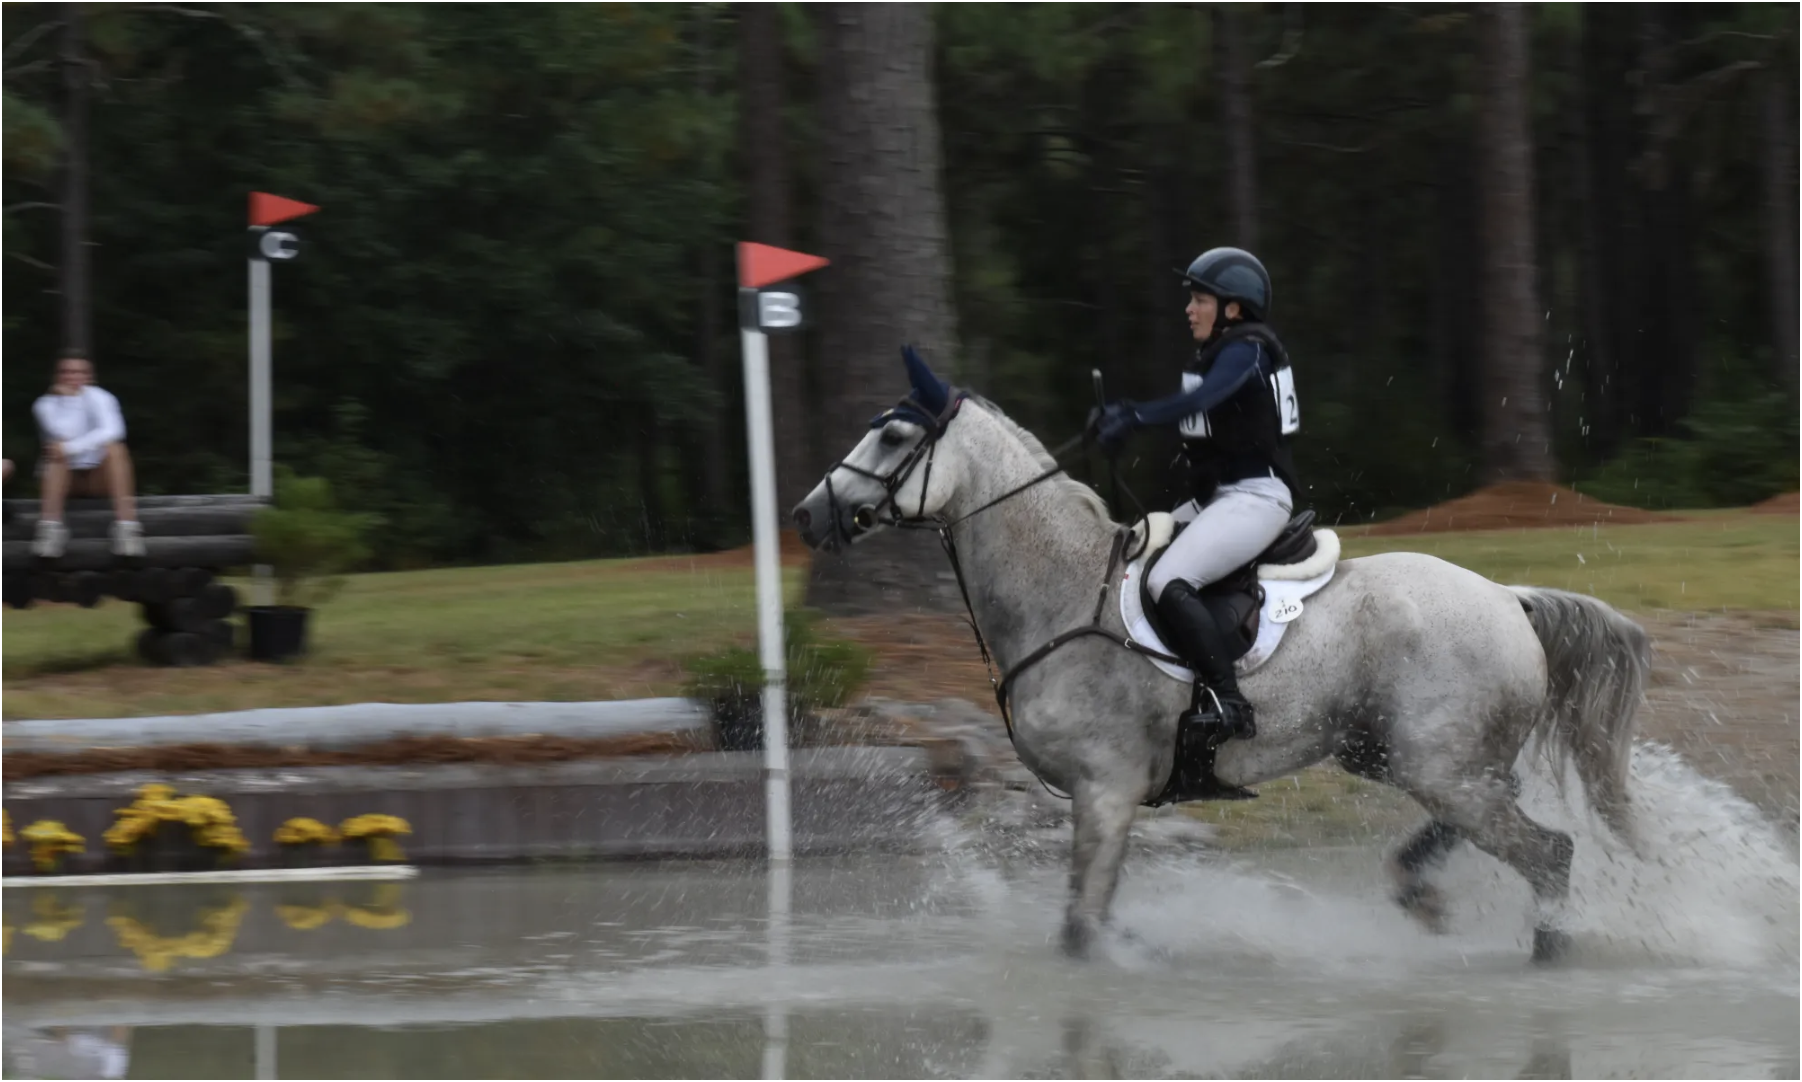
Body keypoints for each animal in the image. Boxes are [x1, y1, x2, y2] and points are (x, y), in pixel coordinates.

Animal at [791, 347, 1650, 963]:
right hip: (1401, 755)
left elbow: (1081, 929)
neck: (1062, 588)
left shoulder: (1104, 792)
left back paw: (1546, 951)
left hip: (1437, 763)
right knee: (1487, 823)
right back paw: (1422, 895)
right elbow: (1092, 920)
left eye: (894, 435)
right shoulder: (1102, 800)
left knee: (1548, 853)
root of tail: (1508, 596)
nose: (806, 515)